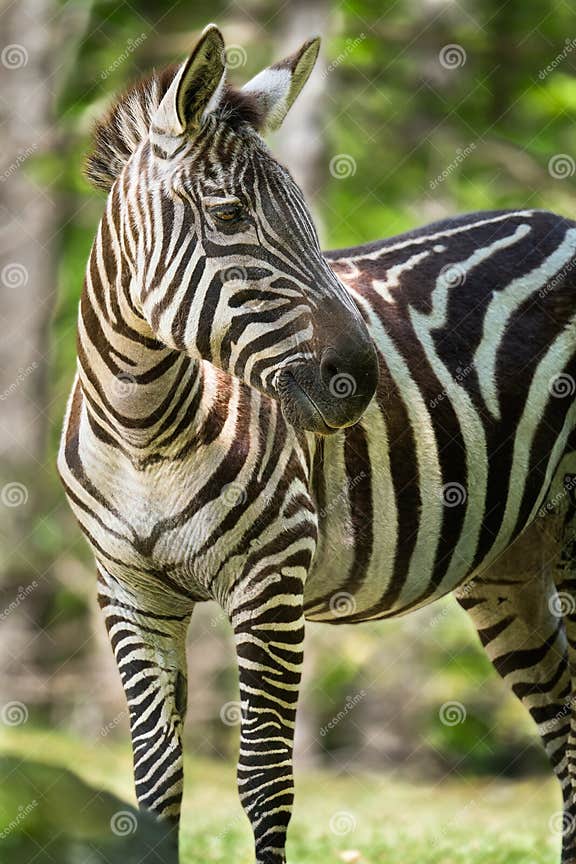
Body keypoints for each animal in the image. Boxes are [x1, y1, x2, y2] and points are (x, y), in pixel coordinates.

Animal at [58, 21, 576, 864]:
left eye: (305, 217)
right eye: (229, 217)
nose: (359, 382)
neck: (143, 431)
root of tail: (562, 219)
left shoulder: (270, 579)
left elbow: (265, 781)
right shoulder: (130, 592)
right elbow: (156, 784)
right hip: (512, 558)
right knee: (566, 723)